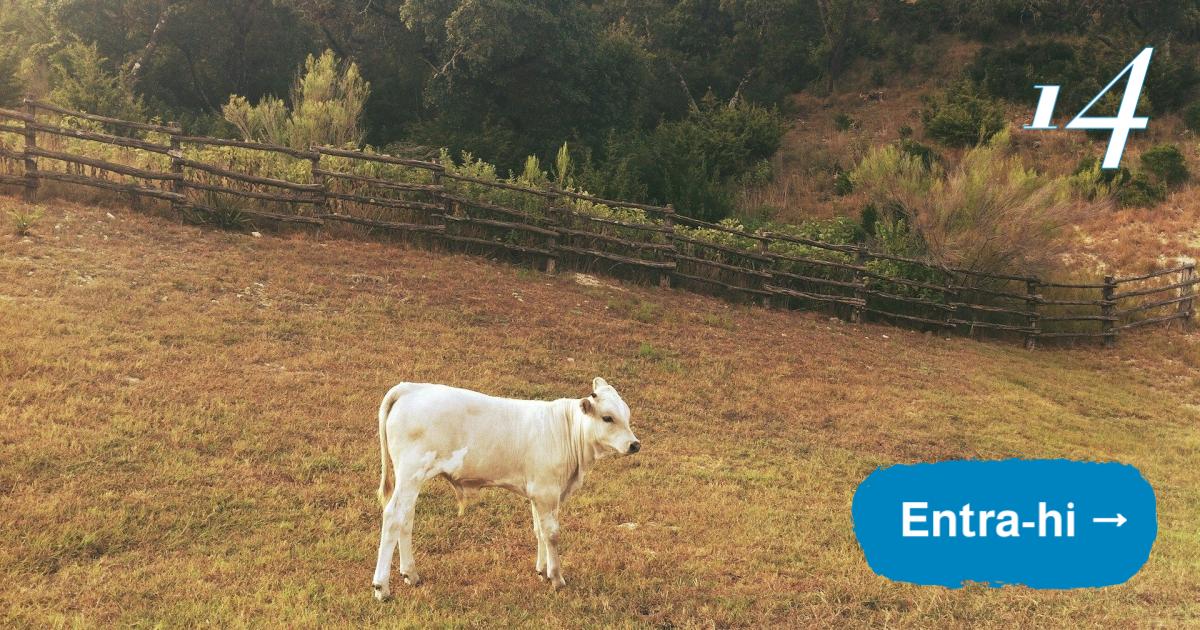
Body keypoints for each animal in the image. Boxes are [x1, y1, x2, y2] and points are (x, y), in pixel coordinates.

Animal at [371, 377, 640, 599]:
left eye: (626, 415)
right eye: (608, 417)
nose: (635, 444)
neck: (566, 432)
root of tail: (411, 387)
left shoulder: (537, 493)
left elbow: (538, 530)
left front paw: (541, 570)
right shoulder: (547, 492)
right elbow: (551, 533)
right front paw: (556, 577)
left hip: (412, 480)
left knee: (406, 519)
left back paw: (410, 574)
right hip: (410, 473)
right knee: (393, 516)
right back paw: (382, 587)